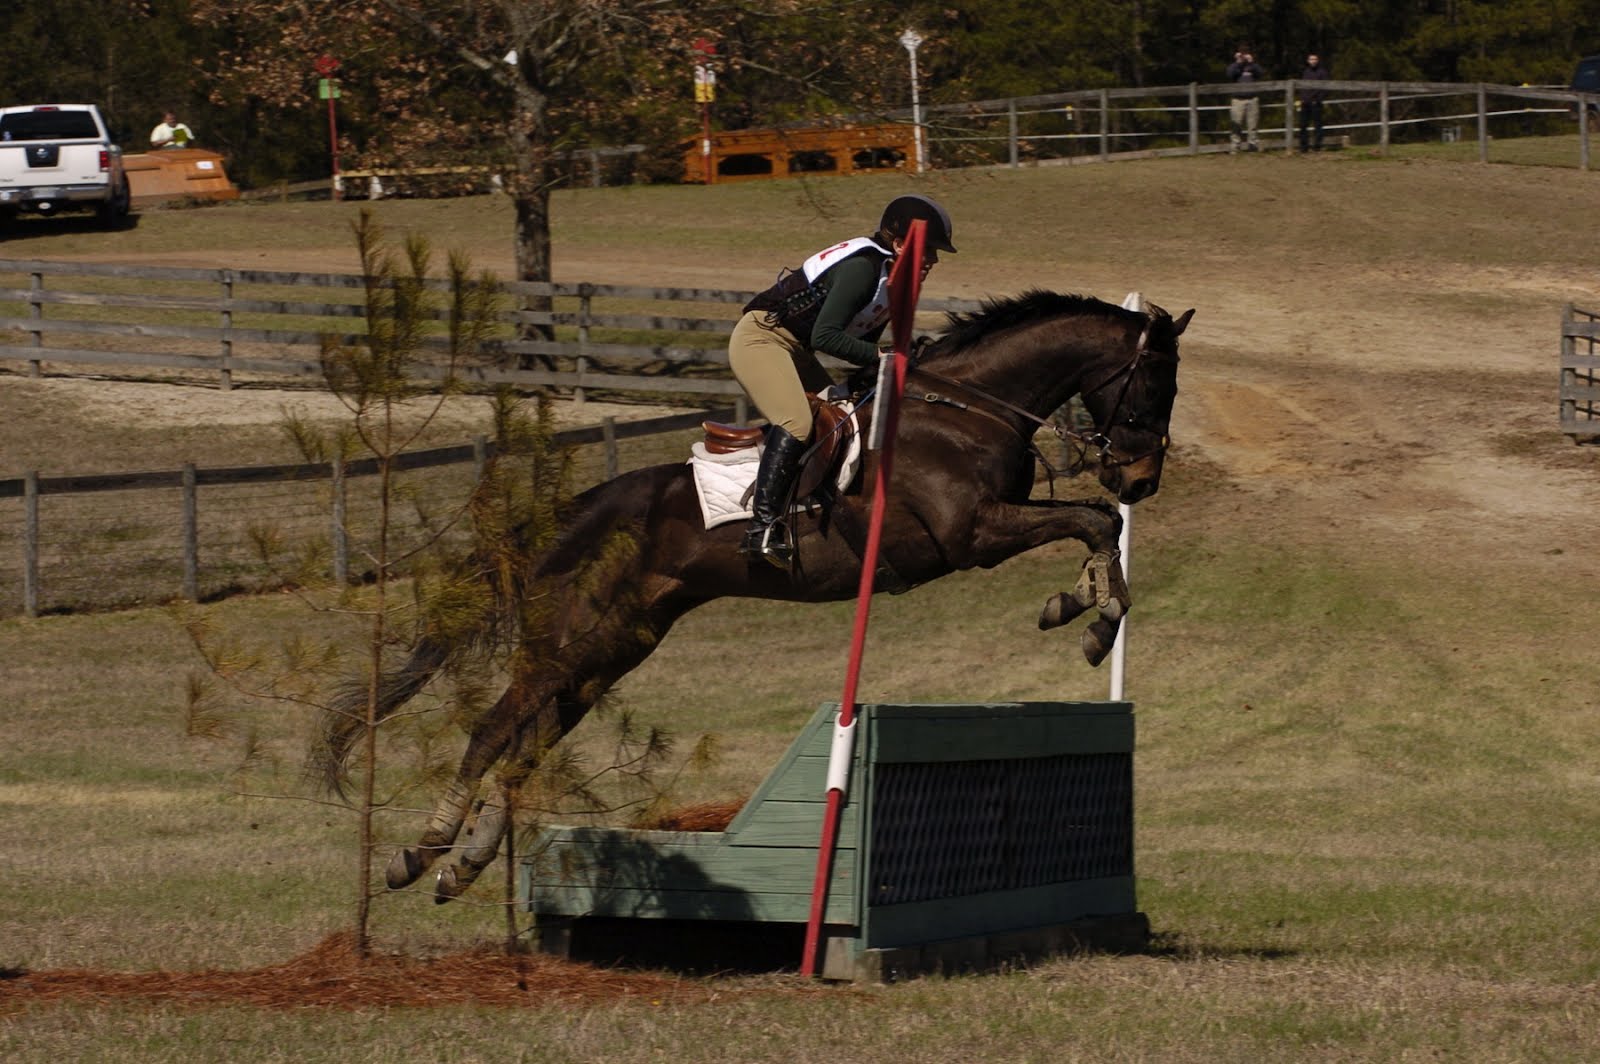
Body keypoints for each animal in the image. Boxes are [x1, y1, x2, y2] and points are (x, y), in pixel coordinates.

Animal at [321, 289, 1193, 902]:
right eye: (1155, 384)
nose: (1143, 480)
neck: (967, 409)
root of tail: (596, 501)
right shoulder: (970, 535)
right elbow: (1089, 518)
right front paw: (1087, 618)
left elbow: (1094, 522)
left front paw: (1085, 608)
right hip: (578, 641)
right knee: (493, 727)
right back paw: (424, 850)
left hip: (618, 646)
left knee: (527, 745)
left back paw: (459, 865)